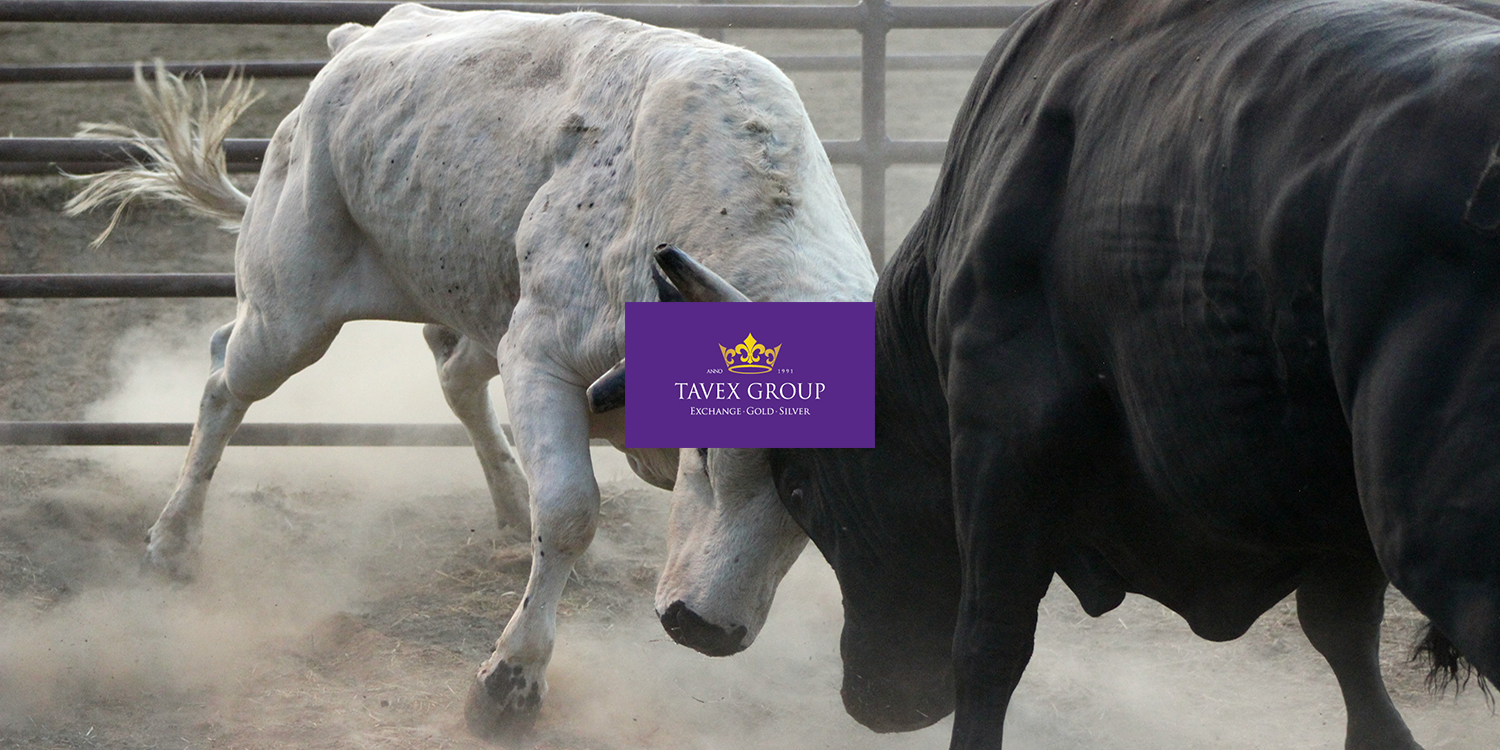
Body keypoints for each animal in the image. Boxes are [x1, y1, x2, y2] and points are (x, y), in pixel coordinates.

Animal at [66, 3, 873, 738]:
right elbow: (571, 513)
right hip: (288, 315)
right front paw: (509, 682)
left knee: (453, 377)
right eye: (703, 448)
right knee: (221, 381)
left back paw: (512, 503)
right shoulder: (540, 357)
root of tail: (355, 40)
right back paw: (173, 542)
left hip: (474, 306)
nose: (700, 627)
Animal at [609, 0, 1500, 747]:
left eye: (797, 489)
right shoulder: (1331, 509)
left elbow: (989, 644)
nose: (873, 699)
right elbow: (1347, 649)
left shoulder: (1002, 442)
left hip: (1440, 539)